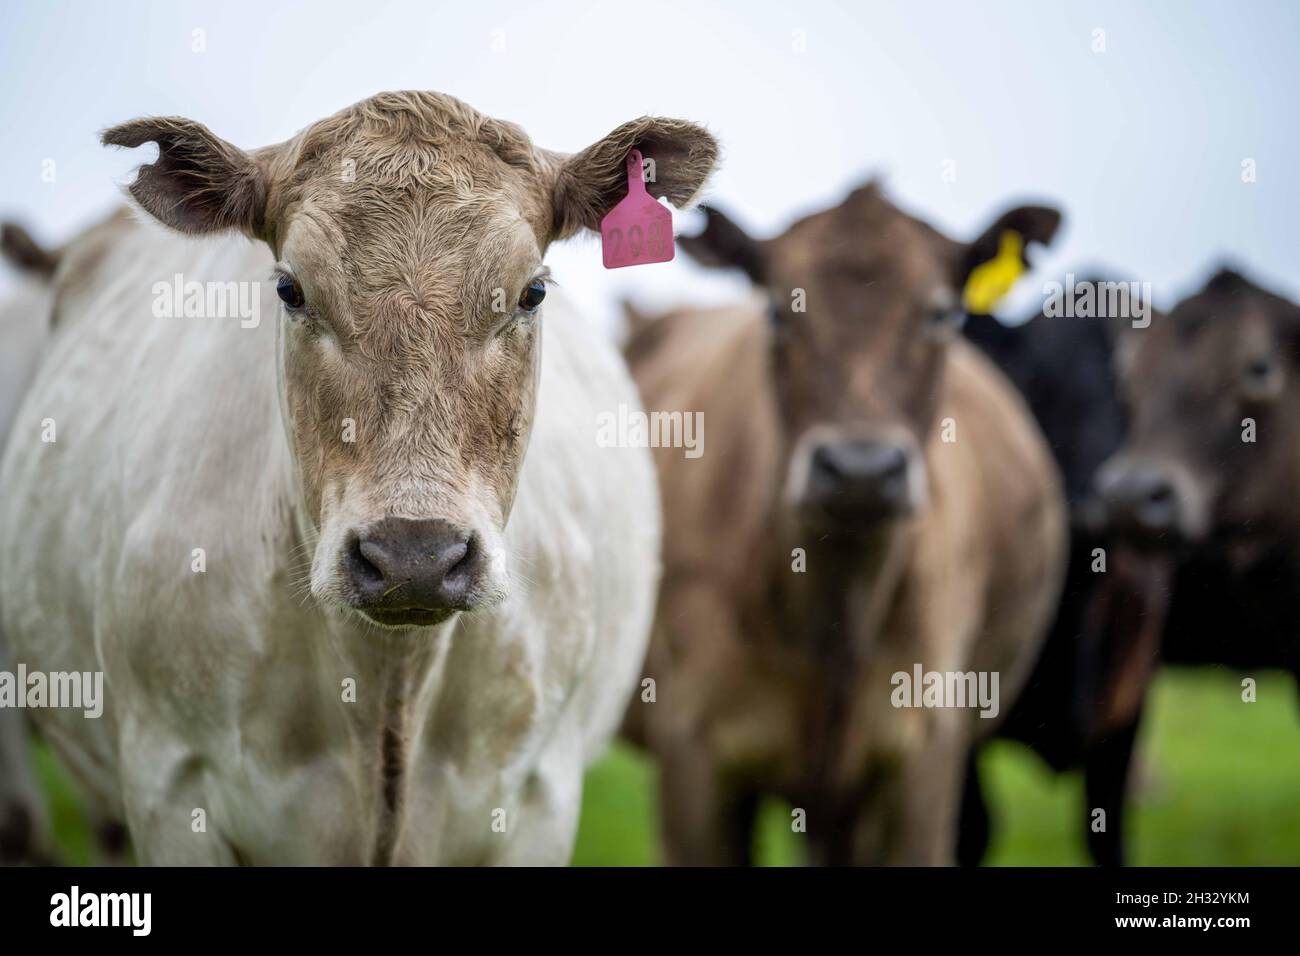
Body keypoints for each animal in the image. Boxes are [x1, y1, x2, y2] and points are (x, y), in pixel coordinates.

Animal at [0, 91, 718, 865]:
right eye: (290, 290)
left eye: (530, 293)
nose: (415, 557)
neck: (388, 687)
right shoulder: (168, 781)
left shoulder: (540, 798)